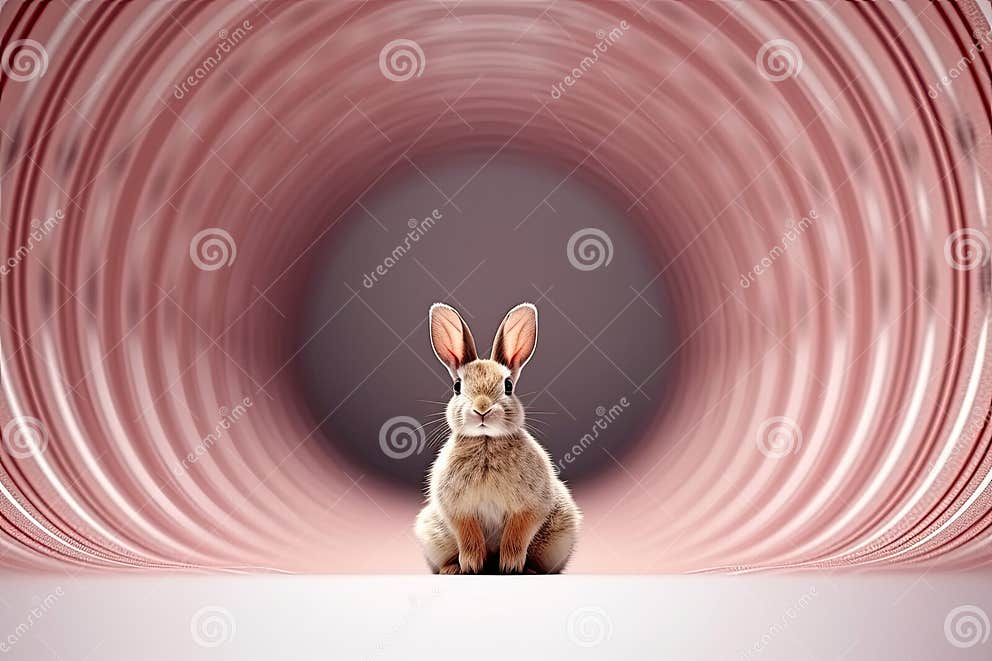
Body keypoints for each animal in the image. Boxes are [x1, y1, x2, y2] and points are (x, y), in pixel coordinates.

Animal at [414, 302, 581, 574]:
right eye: (457, 387)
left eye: (508, 386)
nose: (482, 408)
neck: (486, 440)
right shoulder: (458, 510)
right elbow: (468, 535)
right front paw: (471, 565)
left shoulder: (530, 507)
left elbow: (517, 534)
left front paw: (510, 566)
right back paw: (453, 568)